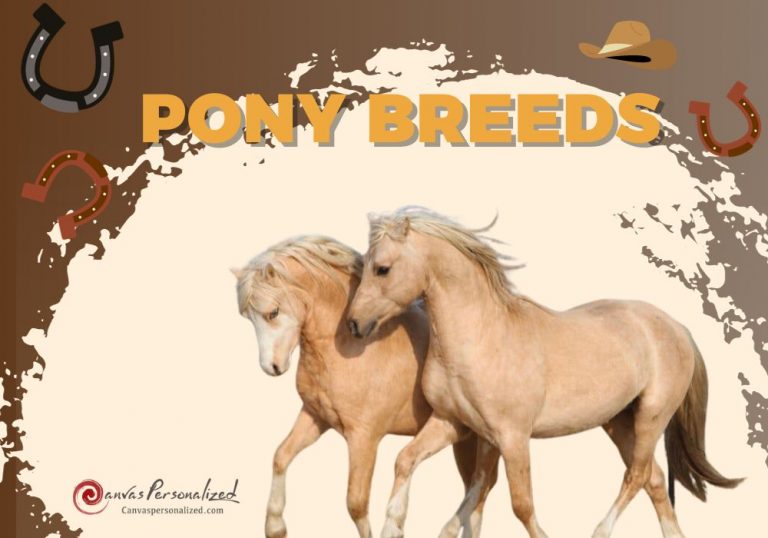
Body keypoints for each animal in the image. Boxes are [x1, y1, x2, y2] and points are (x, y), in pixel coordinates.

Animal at [231, 236, 498, 538]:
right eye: (249, 317)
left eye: (273, 312)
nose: (271, 367)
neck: (350, 346)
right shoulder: (316, 417)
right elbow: (280, 456)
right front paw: (275, 526)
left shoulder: (364, 439)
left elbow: (356, 504)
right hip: (464, 443)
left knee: (480, 491)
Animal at [346, 207, 742, 538]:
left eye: (382, 268)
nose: (353, 325)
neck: (481, 335)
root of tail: (677, 327)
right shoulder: (455, 424)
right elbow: (419, 466)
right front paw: (395, 526)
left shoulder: (513, 437)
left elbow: (519, 504)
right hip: (619, 422)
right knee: (656, 480)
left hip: (651, 417)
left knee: (637, 475)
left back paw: (599, 532)